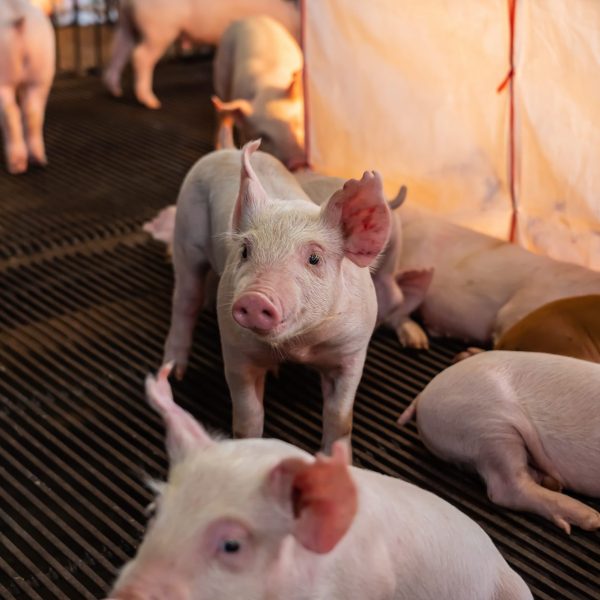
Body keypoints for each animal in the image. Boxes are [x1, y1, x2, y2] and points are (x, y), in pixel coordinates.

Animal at [0, 0, 54, 173]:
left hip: (4, 77)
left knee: (10, 112)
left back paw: (16, 167)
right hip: (41, 73)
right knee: (33, 112)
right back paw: (37, 160)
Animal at [104, 0, 300, 110]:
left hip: (125, 23)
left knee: (118, 50)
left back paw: (115, 91)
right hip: (159, 29)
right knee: (140, 56)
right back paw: (152, 103)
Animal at [162, 141, 392, 450]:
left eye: (314, 258)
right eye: (245, 250)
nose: (255, 298)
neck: (299, 345)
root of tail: (228, 149)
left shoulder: (352, 350)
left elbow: (340, 418)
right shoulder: (236, 349)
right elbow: (247, 417)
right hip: (186, 234)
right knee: (185, 301)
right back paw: (175, 372)